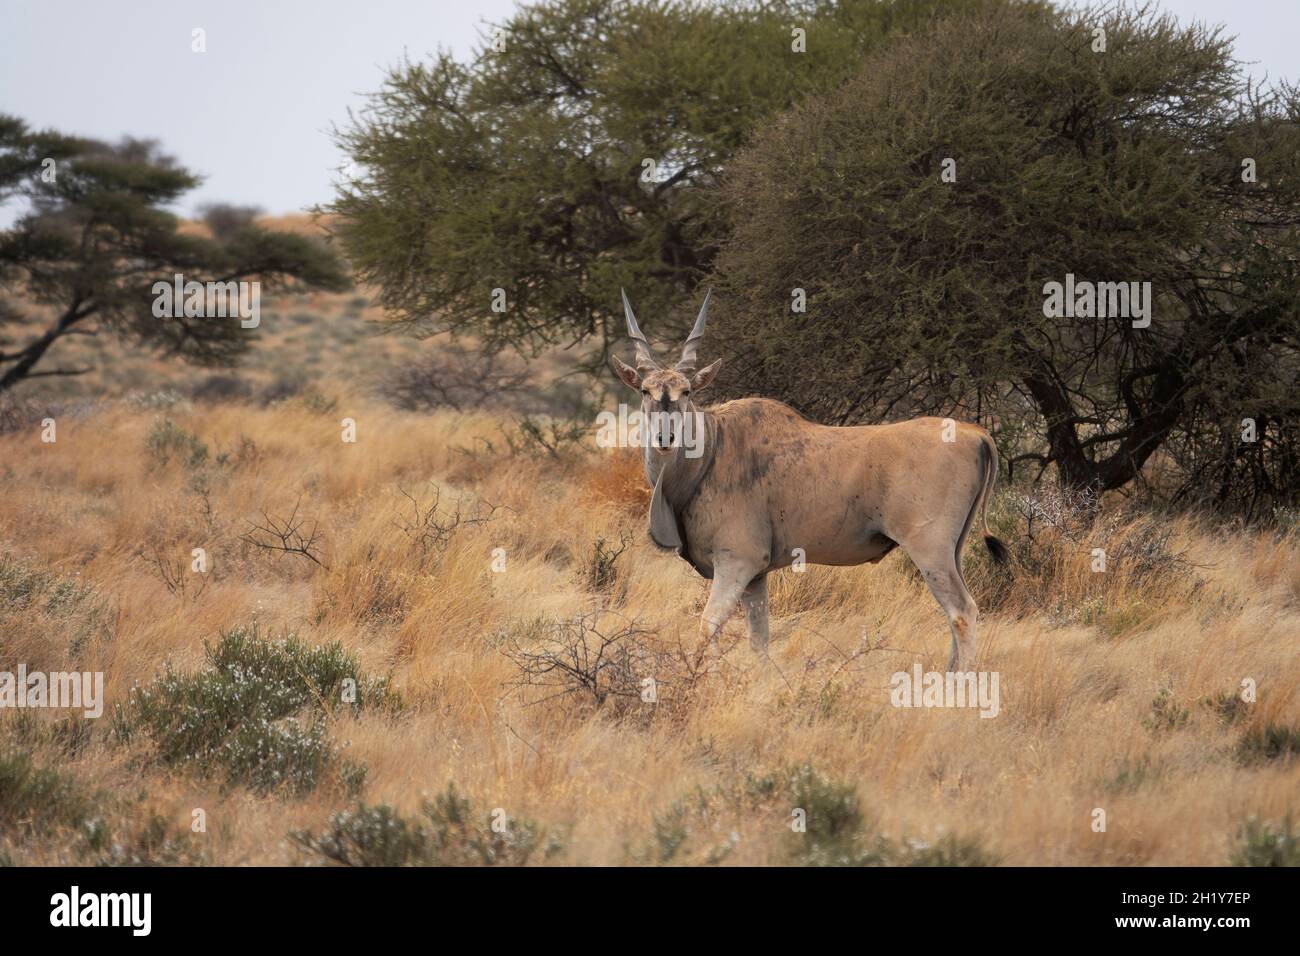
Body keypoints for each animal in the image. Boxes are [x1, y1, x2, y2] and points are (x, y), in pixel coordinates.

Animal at [609, 289, 1008, 671]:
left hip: (930, 550)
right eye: (645, 390)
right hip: (953, 551)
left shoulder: (736, 563)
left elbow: (708, 626)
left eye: (687, 392)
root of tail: (975, 434)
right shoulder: (755, 576)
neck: (713, 448)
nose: (665, 438)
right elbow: (759, 640)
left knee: (962, 612)